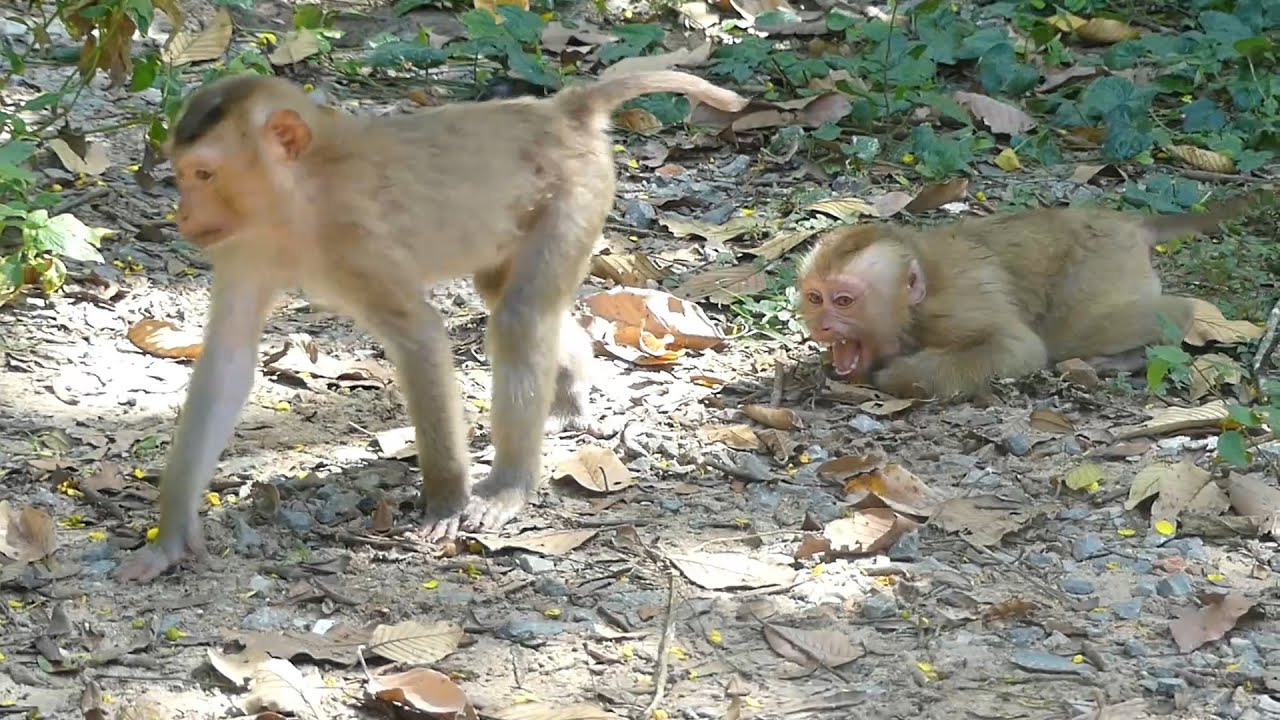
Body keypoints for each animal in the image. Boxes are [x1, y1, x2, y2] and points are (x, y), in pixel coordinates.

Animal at [115, 71, 748, 582]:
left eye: (203, 173)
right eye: (183, 175)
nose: (183, 215)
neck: (300, 197)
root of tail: (559, 110)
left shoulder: (354, 239)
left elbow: (418, 334)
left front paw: (444, 503)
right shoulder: (243, 243)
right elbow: (227, 359)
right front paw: (172, 537)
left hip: (578, 193)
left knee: (519, 315)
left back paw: (509, 485)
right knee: (506, 296)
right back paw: (569, 397)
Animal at [797, 191, 1271, 400]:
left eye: (844, 301)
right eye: (816, 299)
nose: (822, 325)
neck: (911, 308)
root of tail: (1125, 222)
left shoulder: (953, 307)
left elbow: (1020, 349)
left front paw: (897, 376)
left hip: (1104, 265)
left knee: (1079, 332)